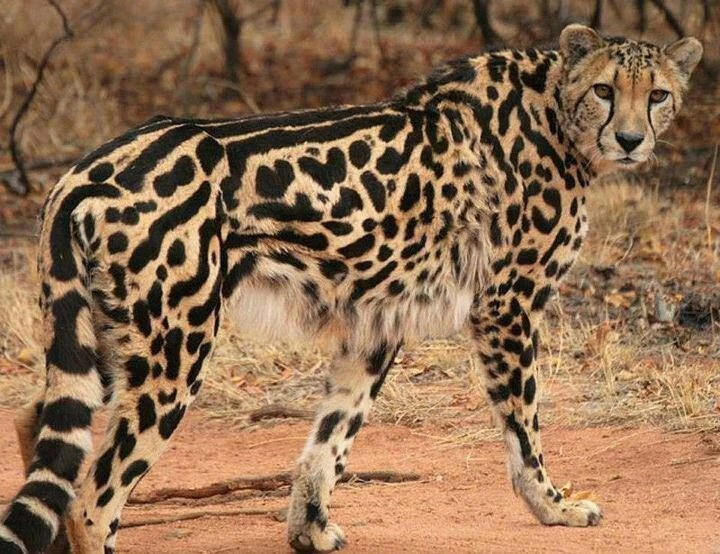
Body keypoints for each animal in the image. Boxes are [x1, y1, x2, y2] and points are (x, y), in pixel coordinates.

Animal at [0, 24, 702, 553]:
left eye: (659, 95)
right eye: (606, 90)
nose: (632, 139)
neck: (555, 111)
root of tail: (88, 168)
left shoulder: (377, 321)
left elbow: (331, 437)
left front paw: (308, 529)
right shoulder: (507, 306)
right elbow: (524, 426)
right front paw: (554, 507)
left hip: (115, 331)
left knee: (45, 428)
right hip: (175, 348)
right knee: (91, 498)